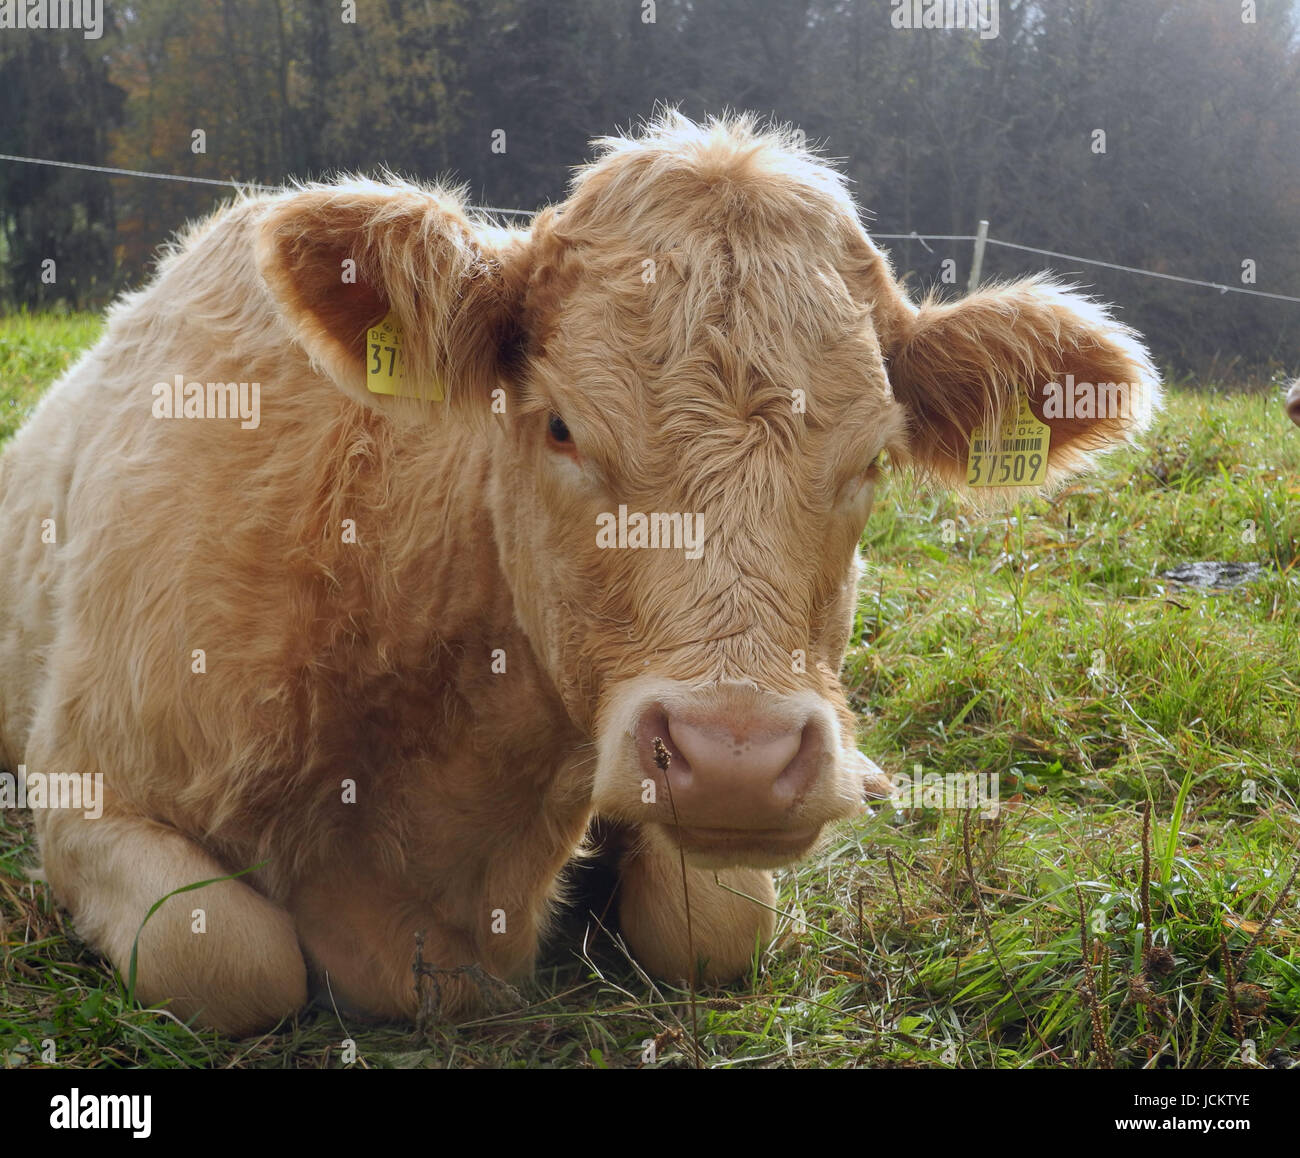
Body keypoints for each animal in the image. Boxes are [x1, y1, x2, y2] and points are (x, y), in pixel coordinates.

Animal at [0, 113, 1160, 1035]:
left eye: (875, 457)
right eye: (559, 425)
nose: (735, 757)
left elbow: (719, 920)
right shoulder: (87, 785)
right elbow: (227, 957)